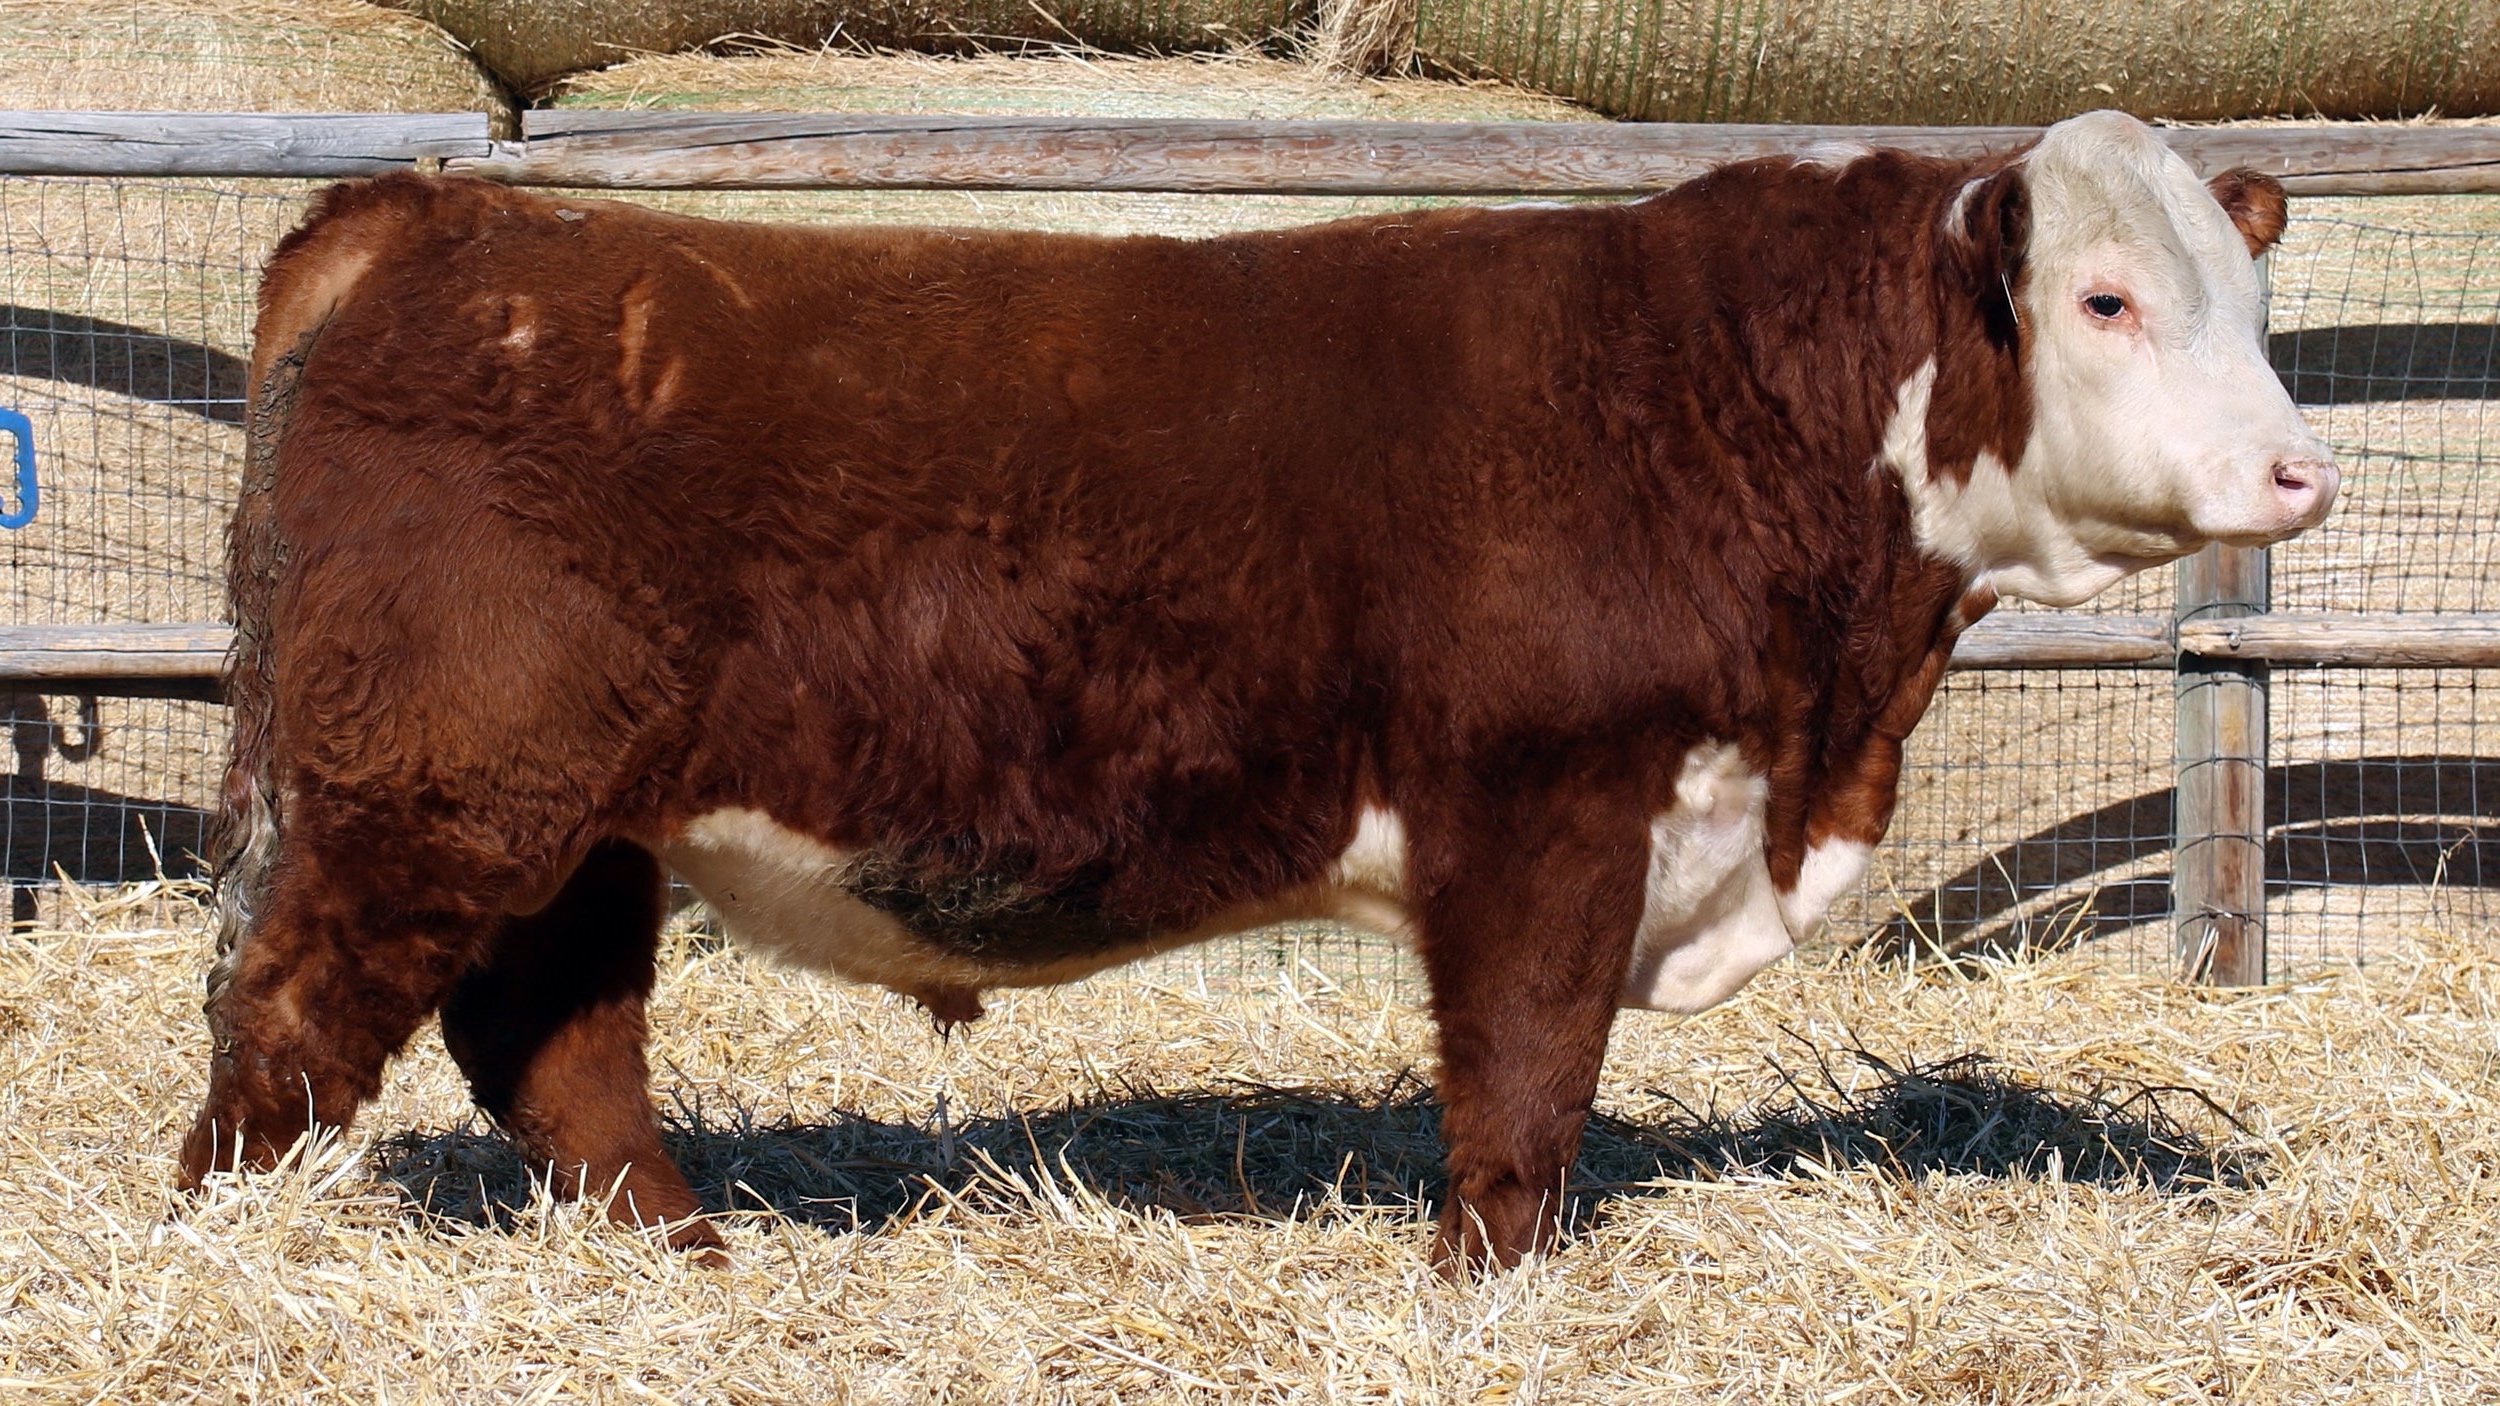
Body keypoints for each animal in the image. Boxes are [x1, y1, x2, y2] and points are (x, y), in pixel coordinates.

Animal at [179, 110, 2336, 1273]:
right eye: (2102, 300)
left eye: (2248, 306)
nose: (2295, 474)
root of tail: (441, 218)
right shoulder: (1547, 806)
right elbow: (1525, 1074)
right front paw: (1493, 1283)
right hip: (431, 793)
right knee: (290, 1014)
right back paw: (219, 1245)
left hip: (567, 822)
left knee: (556, 1043)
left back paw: (689, 1253)